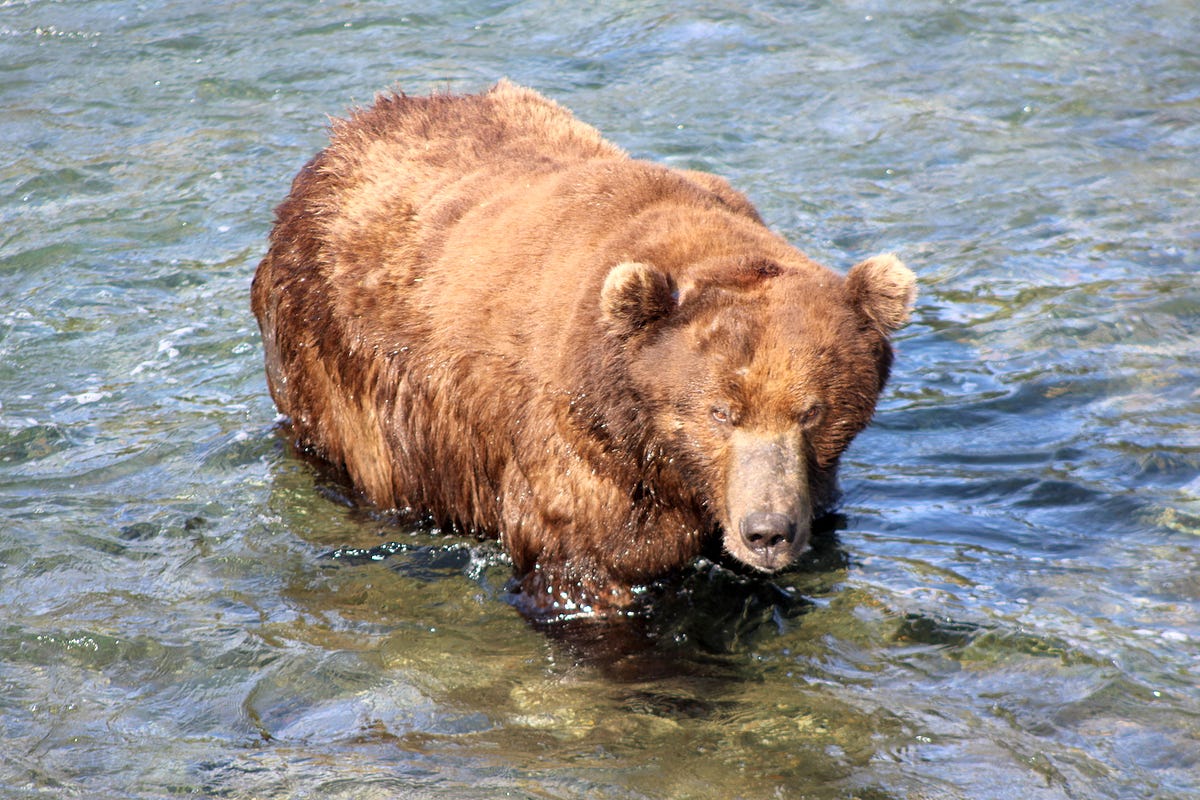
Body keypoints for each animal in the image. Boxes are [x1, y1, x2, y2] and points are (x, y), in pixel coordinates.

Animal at [251, 80, 916, 616]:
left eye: (812, 411)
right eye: (721, 412)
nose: (767, 530)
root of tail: (345, 132)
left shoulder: (805, 480)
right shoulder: (577, 459)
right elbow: (585, 576)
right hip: (332, 362)